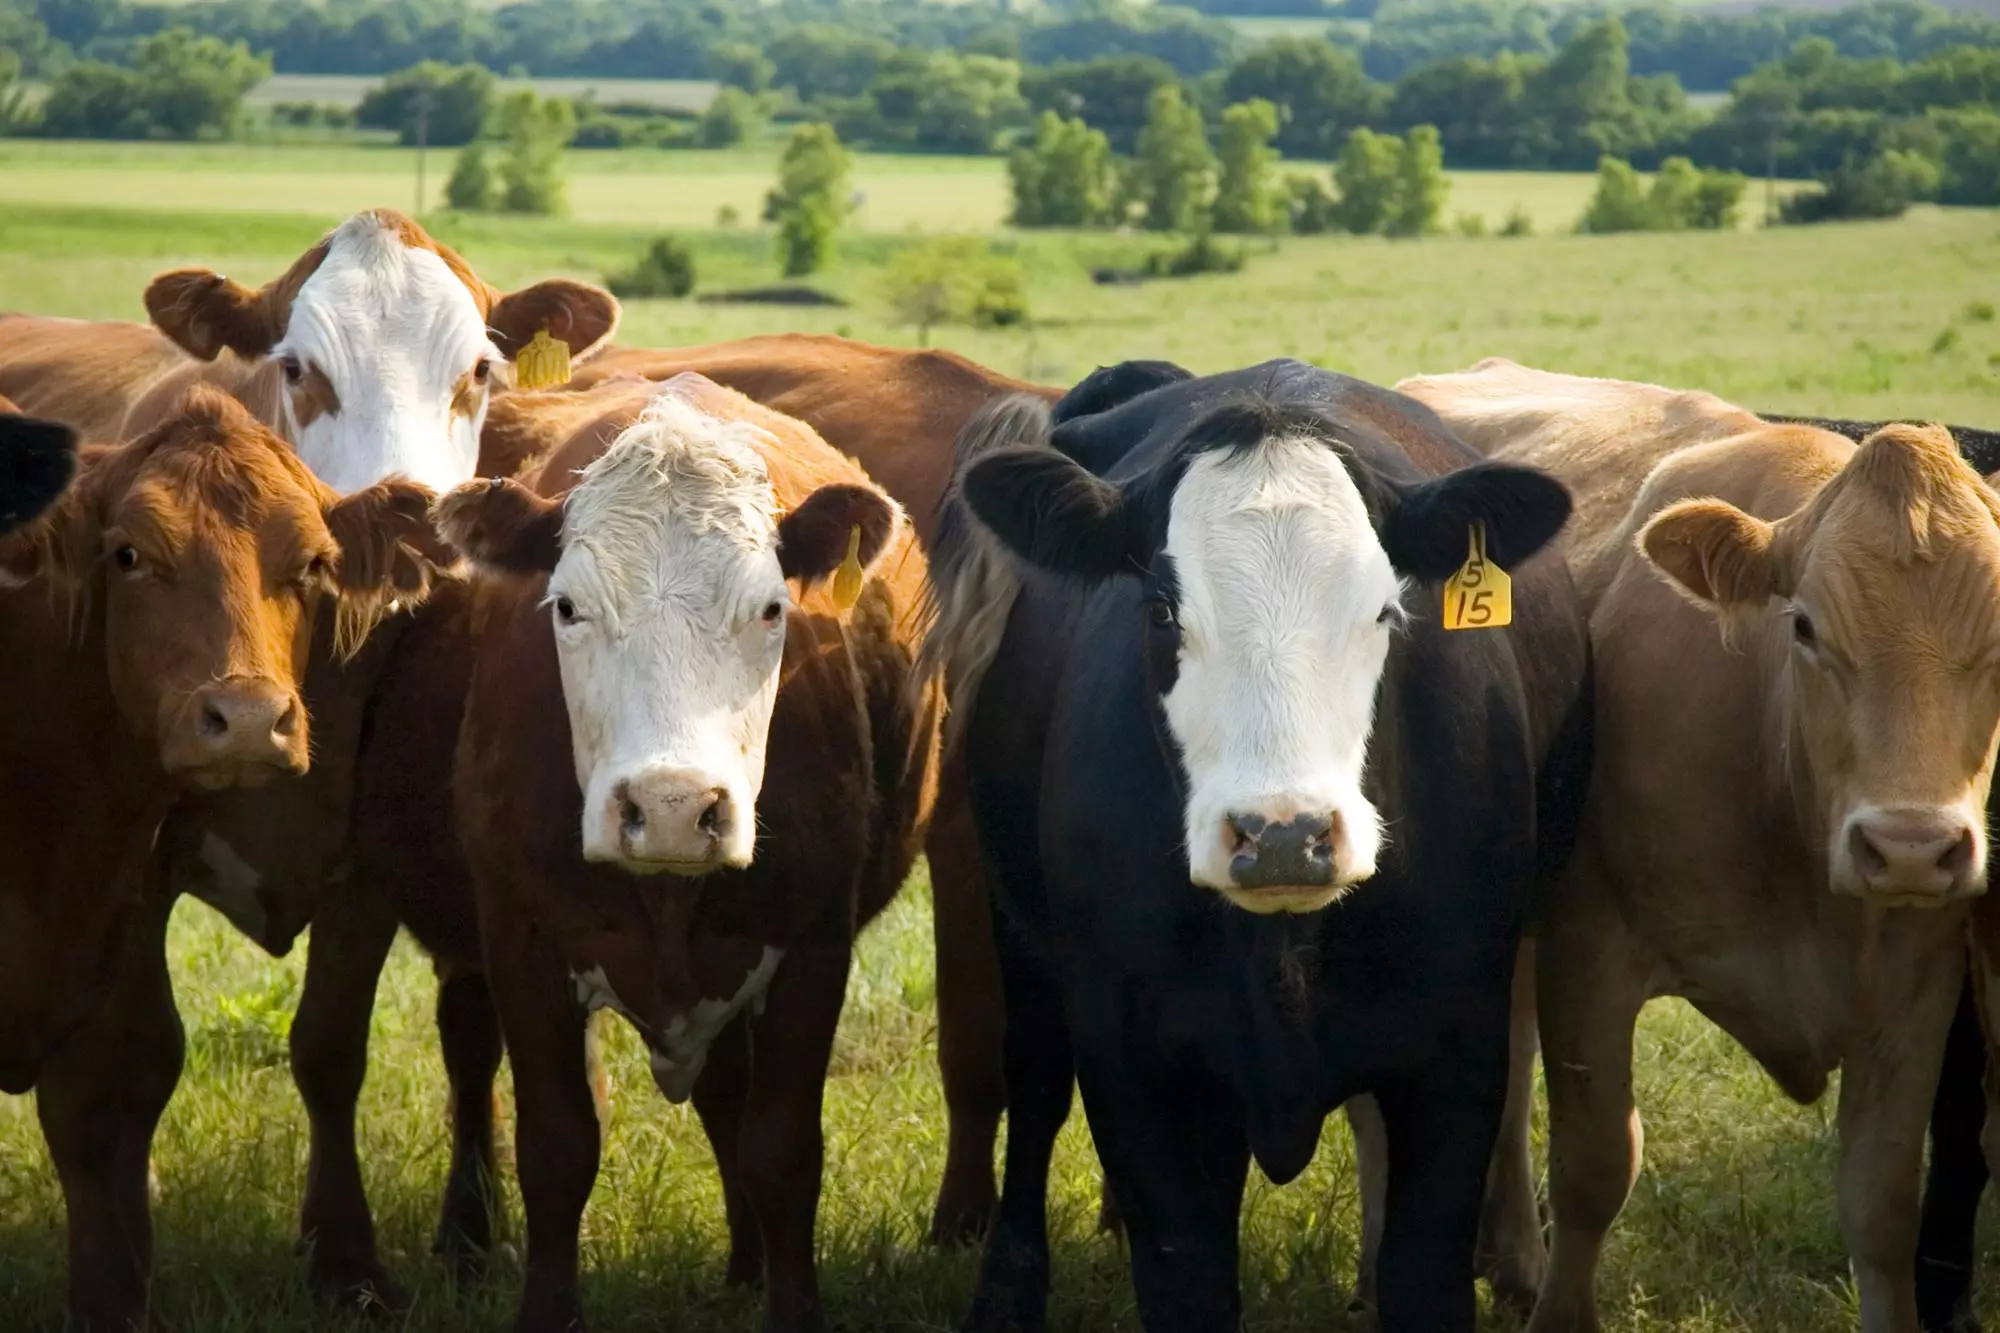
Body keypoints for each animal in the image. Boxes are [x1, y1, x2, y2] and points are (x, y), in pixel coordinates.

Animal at [924, 352, 1592, 1328]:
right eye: (1162, 611)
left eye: (1387, 610)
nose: (1285, 834)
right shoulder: (1129, 1053)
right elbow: (1187, 1271)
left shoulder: (1458, 1046)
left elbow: (1423, 1272)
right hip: (1022, 935)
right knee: (1035, 1083)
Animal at [1400, 352, 2000, 1328]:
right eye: (1804, 626)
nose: (1909, 846)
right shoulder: (1590, 954)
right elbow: (1596, 1167)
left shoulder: (1919, 989)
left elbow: (1881, 1207)